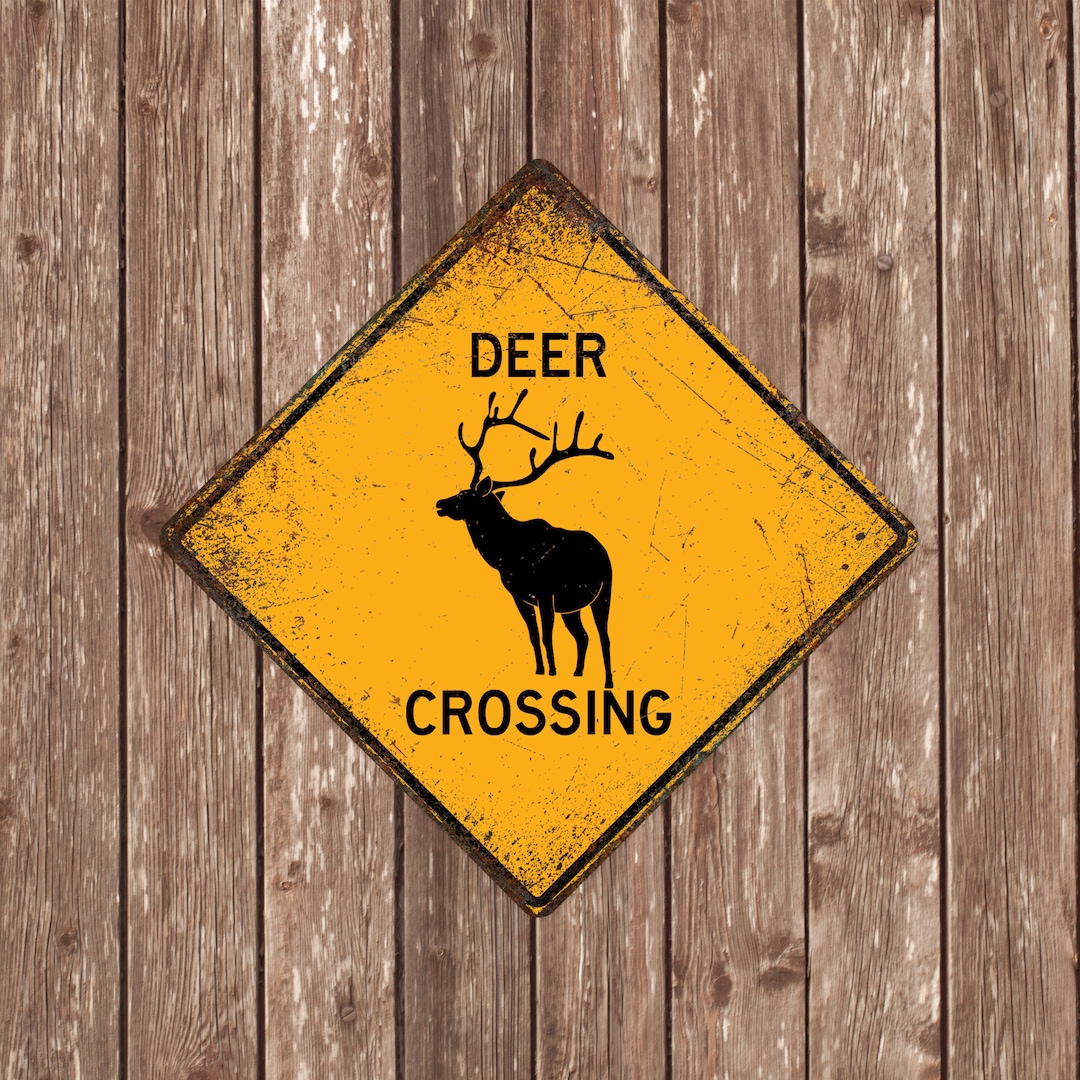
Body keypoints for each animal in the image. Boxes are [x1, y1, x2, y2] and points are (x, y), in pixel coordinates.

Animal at [436, 390, 615, 689]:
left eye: (464, 495)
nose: (439, 503)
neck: (506, 555)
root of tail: (603, 550)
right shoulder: (519, 595)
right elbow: (533, 636)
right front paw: (541, 672)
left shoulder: (544, 593)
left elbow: (546, 635)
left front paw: (552, 673)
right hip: (572, 606)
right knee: (582, 636)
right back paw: (577, 674)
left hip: (604, 592)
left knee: (604, 635)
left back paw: (607, 682)